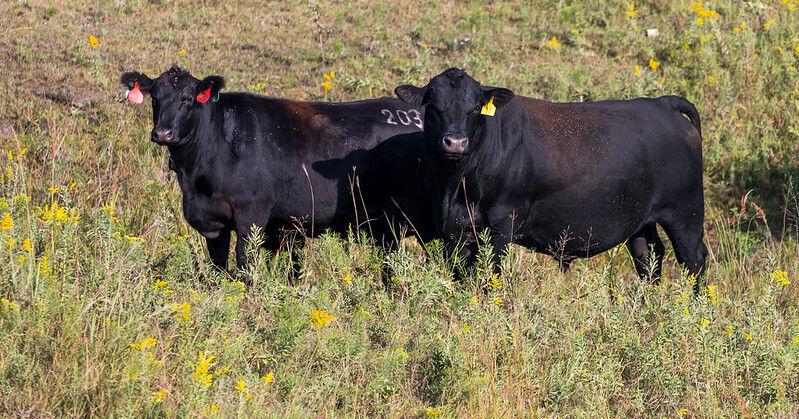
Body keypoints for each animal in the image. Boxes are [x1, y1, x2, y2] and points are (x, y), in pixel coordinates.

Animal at [120, 65, 428, 272]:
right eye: (155, 97)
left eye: (188, 99)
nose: (163, 133)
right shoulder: (215, 224)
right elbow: (219, 267)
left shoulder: (252, 214)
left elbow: (245, 265)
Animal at [395, 68, 708, 290]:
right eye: (434, 107)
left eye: (474, 109)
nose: (456, 143)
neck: (457, 187)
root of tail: (662, 104)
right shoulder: (454, 230)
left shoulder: (501, 224)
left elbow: (490, 272)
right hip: (641, 221)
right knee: (648, 257)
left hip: (685, 213)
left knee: (694, 259)